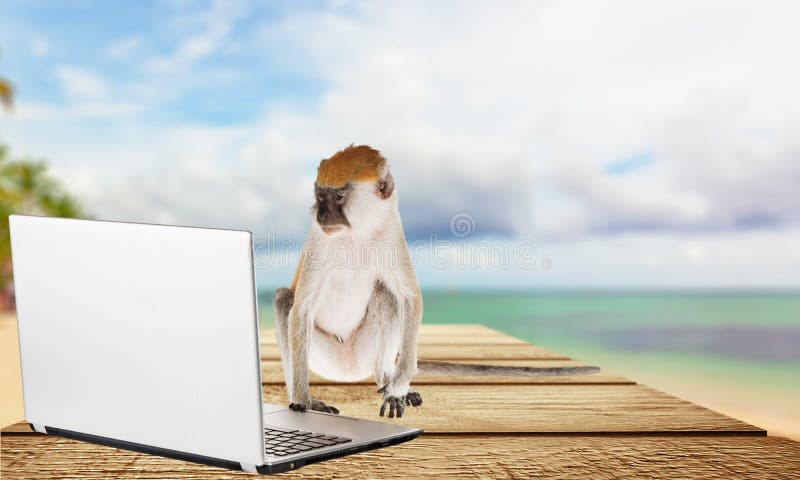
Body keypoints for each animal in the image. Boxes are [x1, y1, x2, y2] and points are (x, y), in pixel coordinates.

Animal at [273, 145, 600, 419]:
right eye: (320, 196)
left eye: (338, 197)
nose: (323, 214)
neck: (357, 233)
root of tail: (350, 369)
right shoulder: (319, 239)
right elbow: (301, 308)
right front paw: (304, 401)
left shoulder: (391, 231)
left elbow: (409, 297)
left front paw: (398, 389)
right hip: (326, 357)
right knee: (284, 300)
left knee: (385, 296)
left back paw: (385, 381)